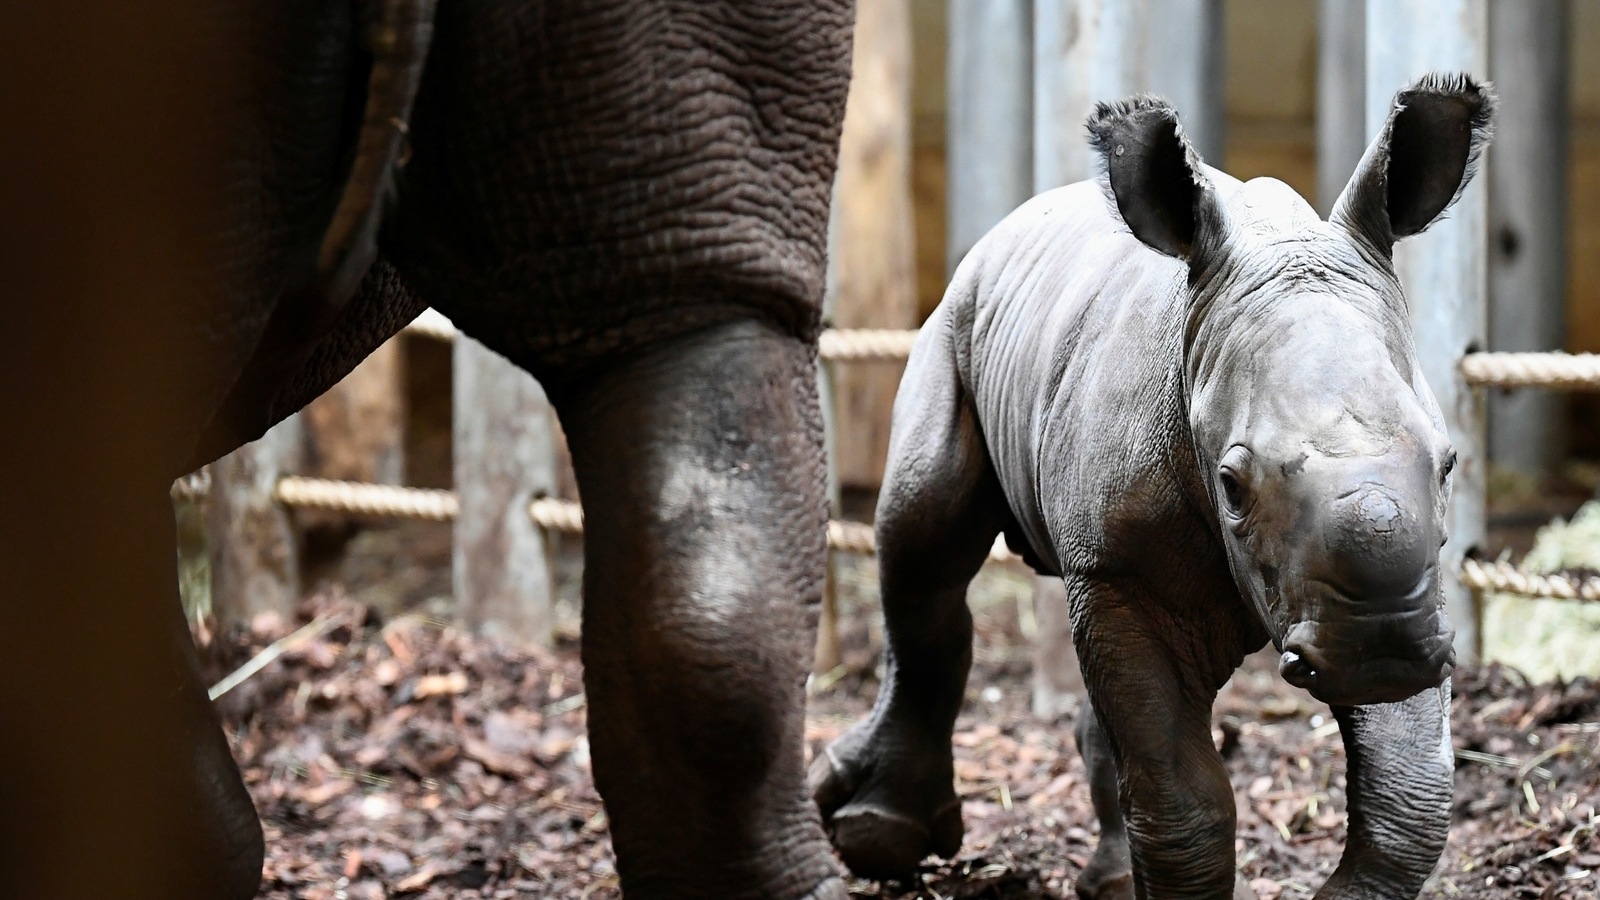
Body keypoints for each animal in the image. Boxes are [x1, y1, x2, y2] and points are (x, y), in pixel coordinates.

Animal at [811, 73, 1493, 899]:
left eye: (1450, 463)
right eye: (1231, 485)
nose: (1378, 651)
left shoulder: (1410, 575)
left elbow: (1407, 793)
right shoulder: (1121, 568)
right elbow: (1185, 799)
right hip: (951, 324)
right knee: (922, 546)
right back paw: (877, 836)